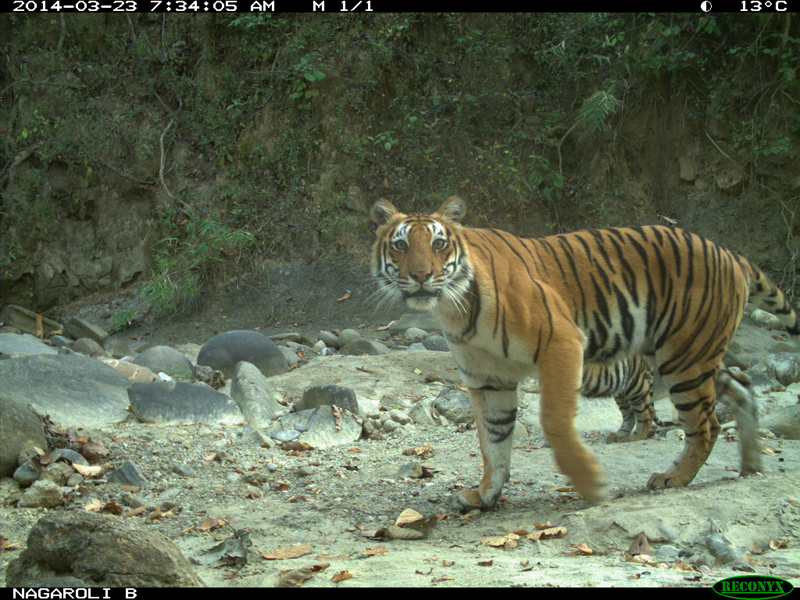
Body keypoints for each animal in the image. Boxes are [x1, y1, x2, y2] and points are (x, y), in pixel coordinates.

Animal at [370, 196, 796, 512]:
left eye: (439, 244)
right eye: (401, 244)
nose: (421, 275)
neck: (454, 307)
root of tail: (729, 253)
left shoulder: (561, 343)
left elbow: (554, 423)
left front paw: (592, 485)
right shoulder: (488, 378)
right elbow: (493, 440)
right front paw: (486, 494)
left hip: (684, 357)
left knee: (705, 424)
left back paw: (673, 477)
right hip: (687, 354)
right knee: (741, 385)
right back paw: (750, 465)